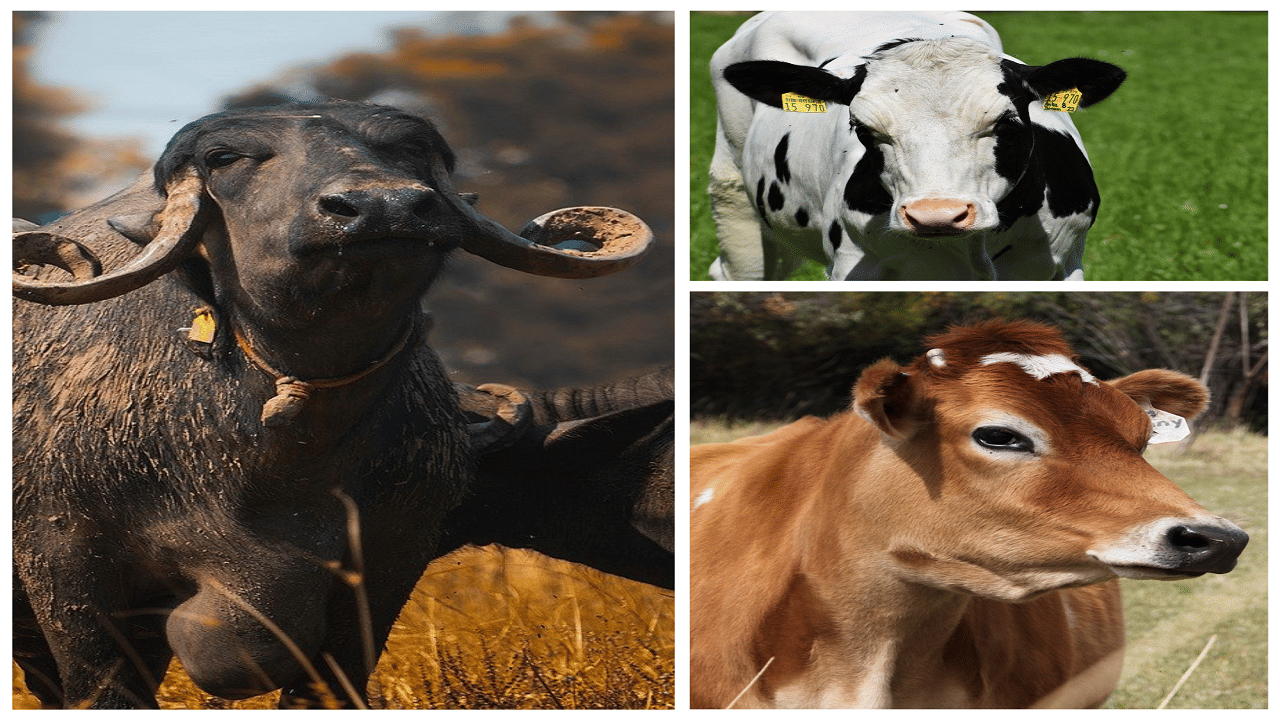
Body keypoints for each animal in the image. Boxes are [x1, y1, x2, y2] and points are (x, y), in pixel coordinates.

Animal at [706, 12, 1126, 280]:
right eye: (863, 129)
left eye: (1006, 122)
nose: (936, 215)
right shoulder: (852, 262)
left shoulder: (1066, 262)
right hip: (734, 193)